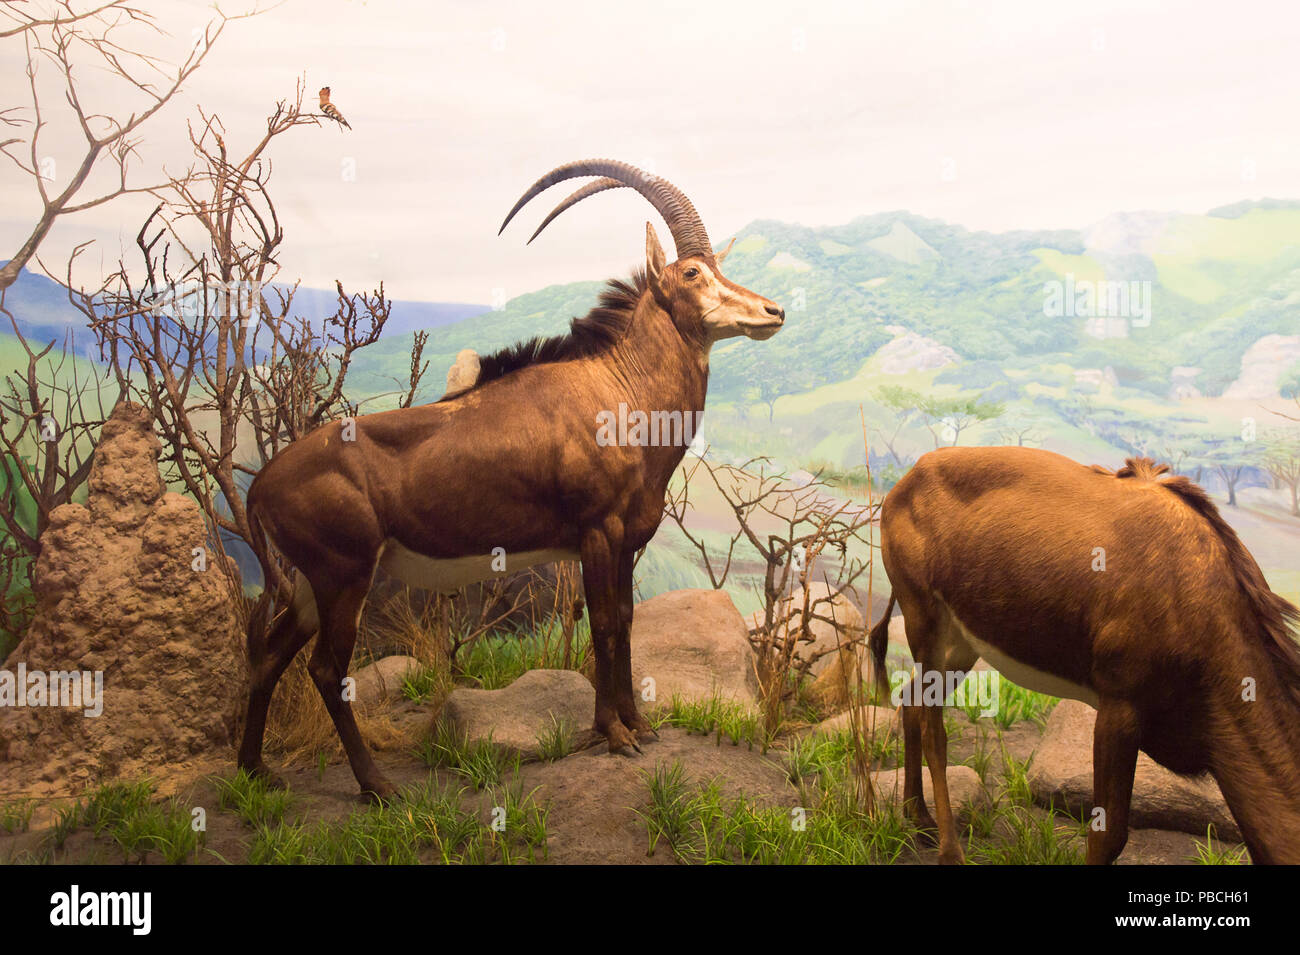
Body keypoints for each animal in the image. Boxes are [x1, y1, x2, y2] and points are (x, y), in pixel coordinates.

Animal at [238, 159, 785, 798]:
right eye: (694, 272)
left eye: (720, 266)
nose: (773, 313)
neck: (618, 389)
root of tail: (259, 486)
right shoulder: (597, 533)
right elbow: (604, 626)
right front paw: (613, 734)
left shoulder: (628, 541)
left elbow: (626, 622)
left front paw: (639, 726)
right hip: (343, 575)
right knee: (326, 669)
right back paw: (377, 786)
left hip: (311, 582)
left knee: (270, 653)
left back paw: (254, 770)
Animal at [868, 446, 1300, 864]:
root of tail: (906, 481)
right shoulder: (1119, 706)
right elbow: (1108, 836)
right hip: (923, 618)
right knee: (933, 728)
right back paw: (950, 850)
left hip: (961, 644)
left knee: (912, 702)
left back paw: (920, 821)